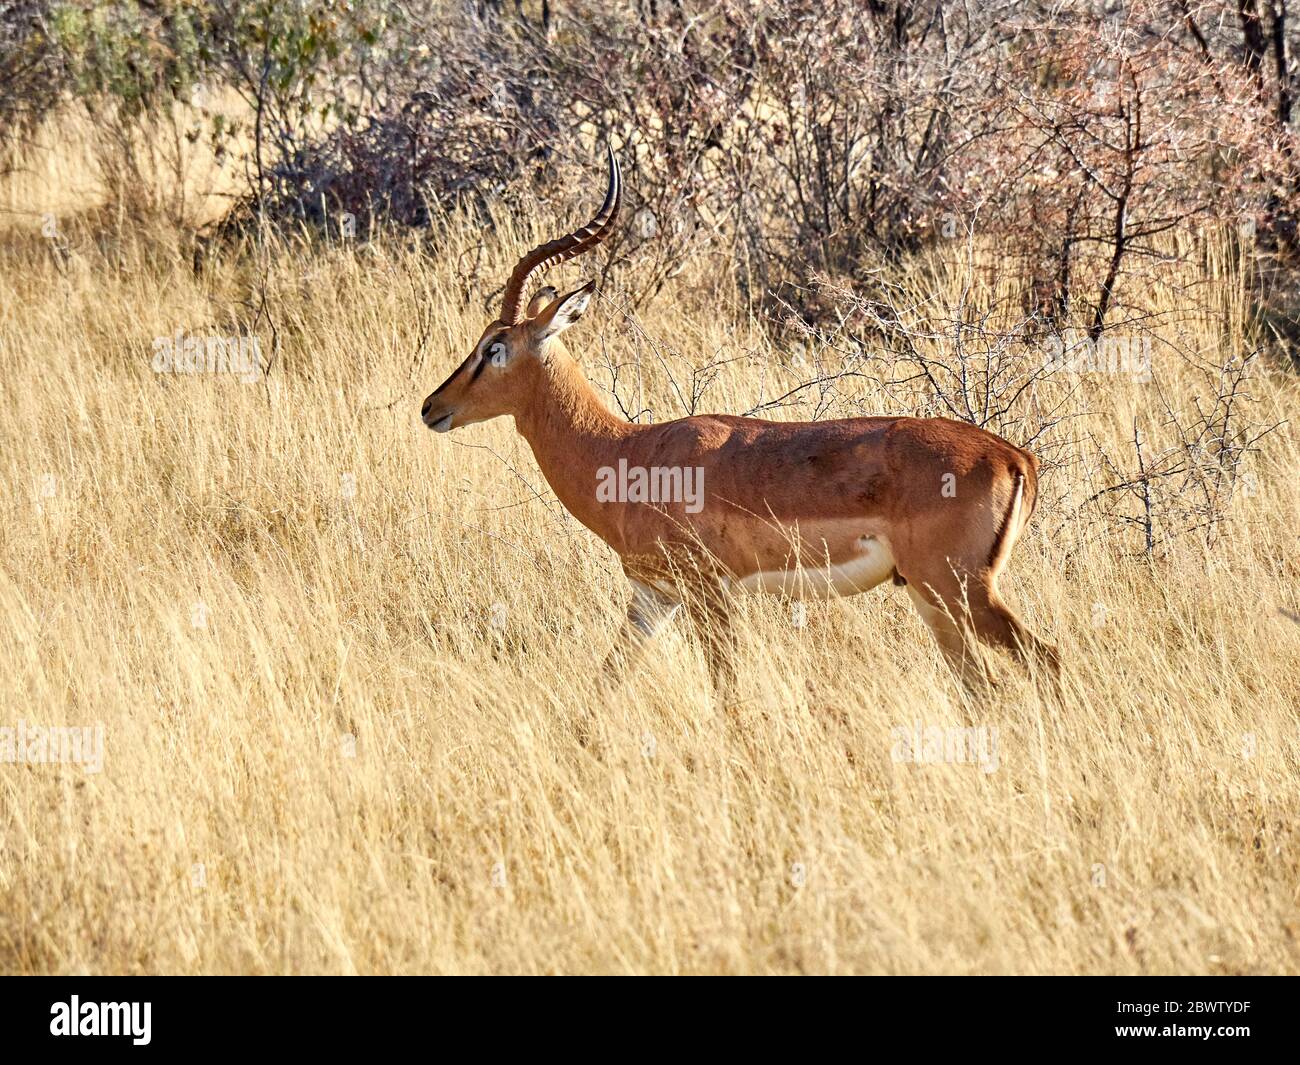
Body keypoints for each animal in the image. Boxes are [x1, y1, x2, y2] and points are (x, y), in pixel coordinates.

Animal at [421, 148, 1060, 698]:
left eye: (494, 347)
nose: (431, 407)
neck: (630, 454)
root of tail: (1015, 457)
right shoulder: (652, 596)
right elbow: (605, 682)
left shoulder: (710, 594)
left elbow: (727, 690)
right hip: (935, 600)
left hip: (956, 590)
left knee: (1042, 662)